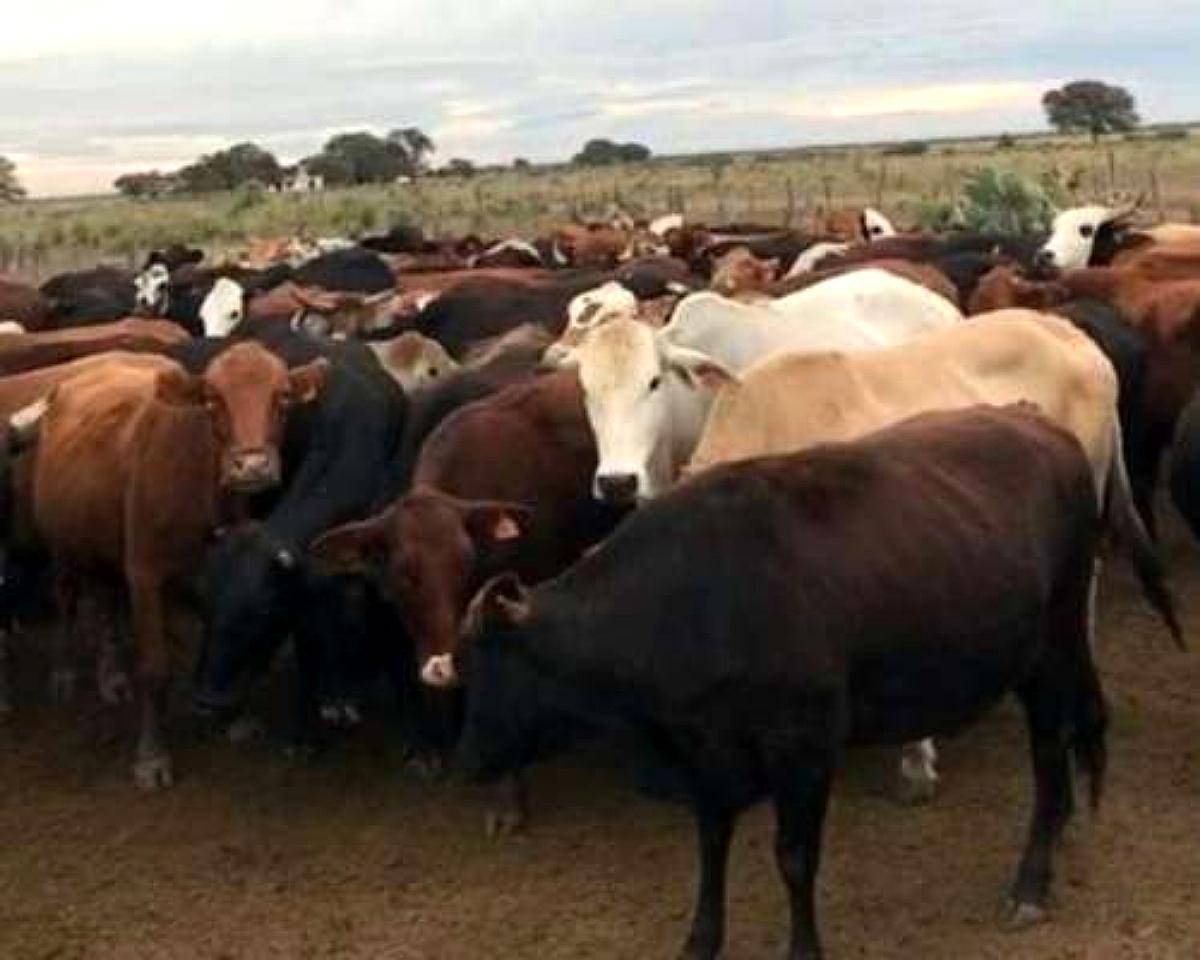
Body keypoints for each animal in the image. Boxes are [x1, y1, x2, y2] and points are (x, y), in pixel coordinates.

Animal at [30, 343, 328, 787]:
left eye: (284, 398)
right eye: (212, 400)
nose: (252, 466)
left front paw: (234, 718)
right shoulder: (144, 573)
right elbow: (155, 667)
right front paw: (152, 756)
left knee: (105, 601)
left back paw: (112, 676)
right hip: (63, 542)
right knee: (67, 597)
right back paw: (63, 674)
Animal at [447, 405, 1117, 960]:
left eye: (486, 665)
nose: (468, 760)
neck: (693, 595)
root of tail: (1043, 429)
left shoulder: (804, 743)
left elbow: (794, 857)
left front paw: (803, 948)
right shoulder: (709, 751)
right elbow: (712, 839)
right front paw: (701, 940)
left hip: (1054, 648)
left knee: (1049, 754)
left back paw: (1031, 882)